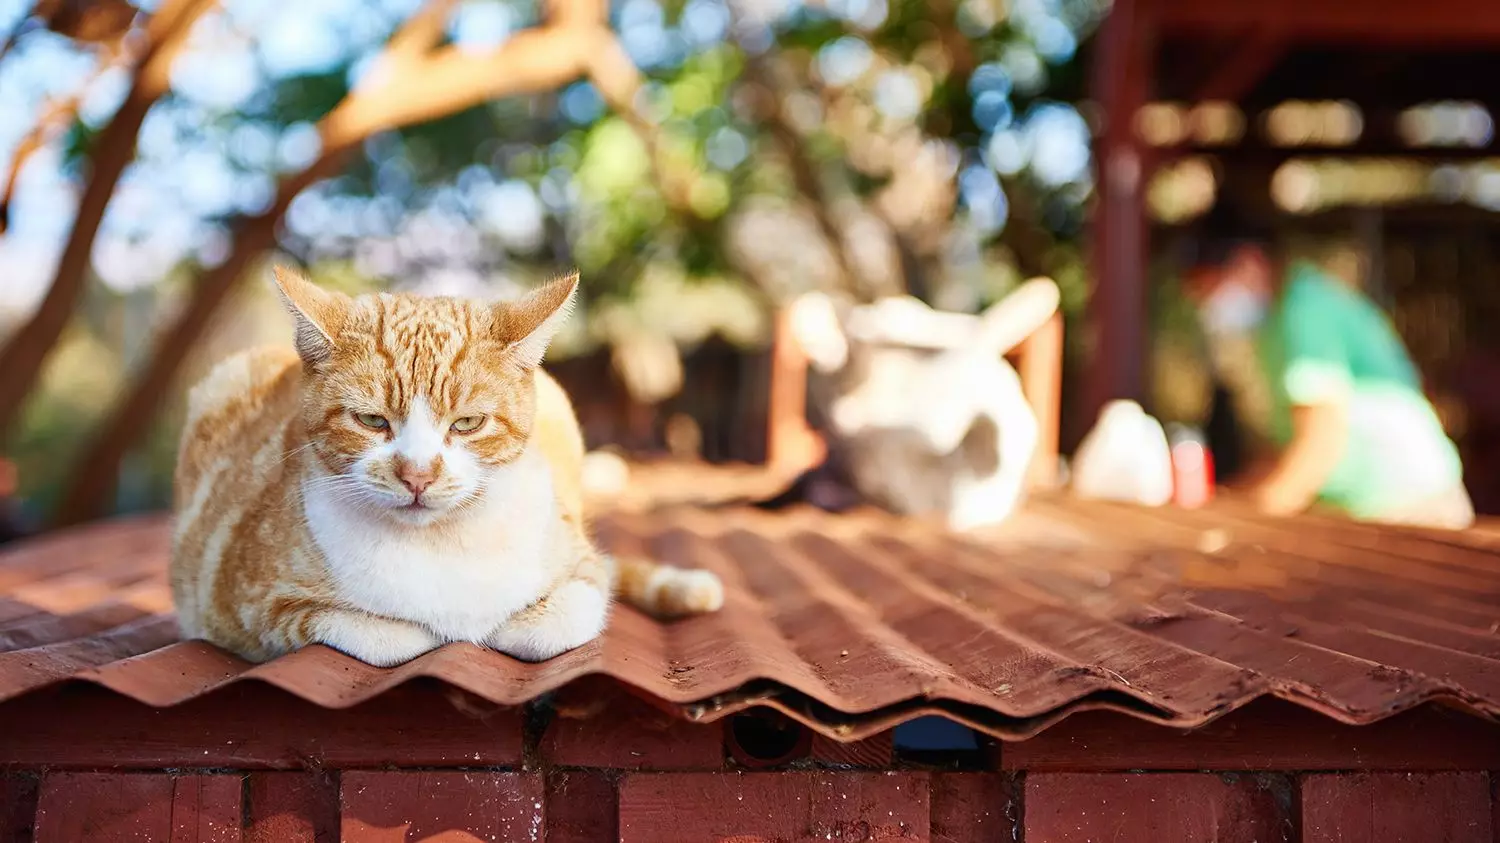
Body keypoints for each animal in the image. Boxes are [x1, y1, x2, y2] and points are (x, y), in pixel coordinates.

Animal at [170, 268, 726, 663]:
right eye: (371, 420)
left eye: (468, 423)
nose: (418, 474)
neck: (441, 545)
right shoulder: (249, 607)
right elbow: (385, 635)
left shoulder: (580, 569)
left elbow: (555, 620)